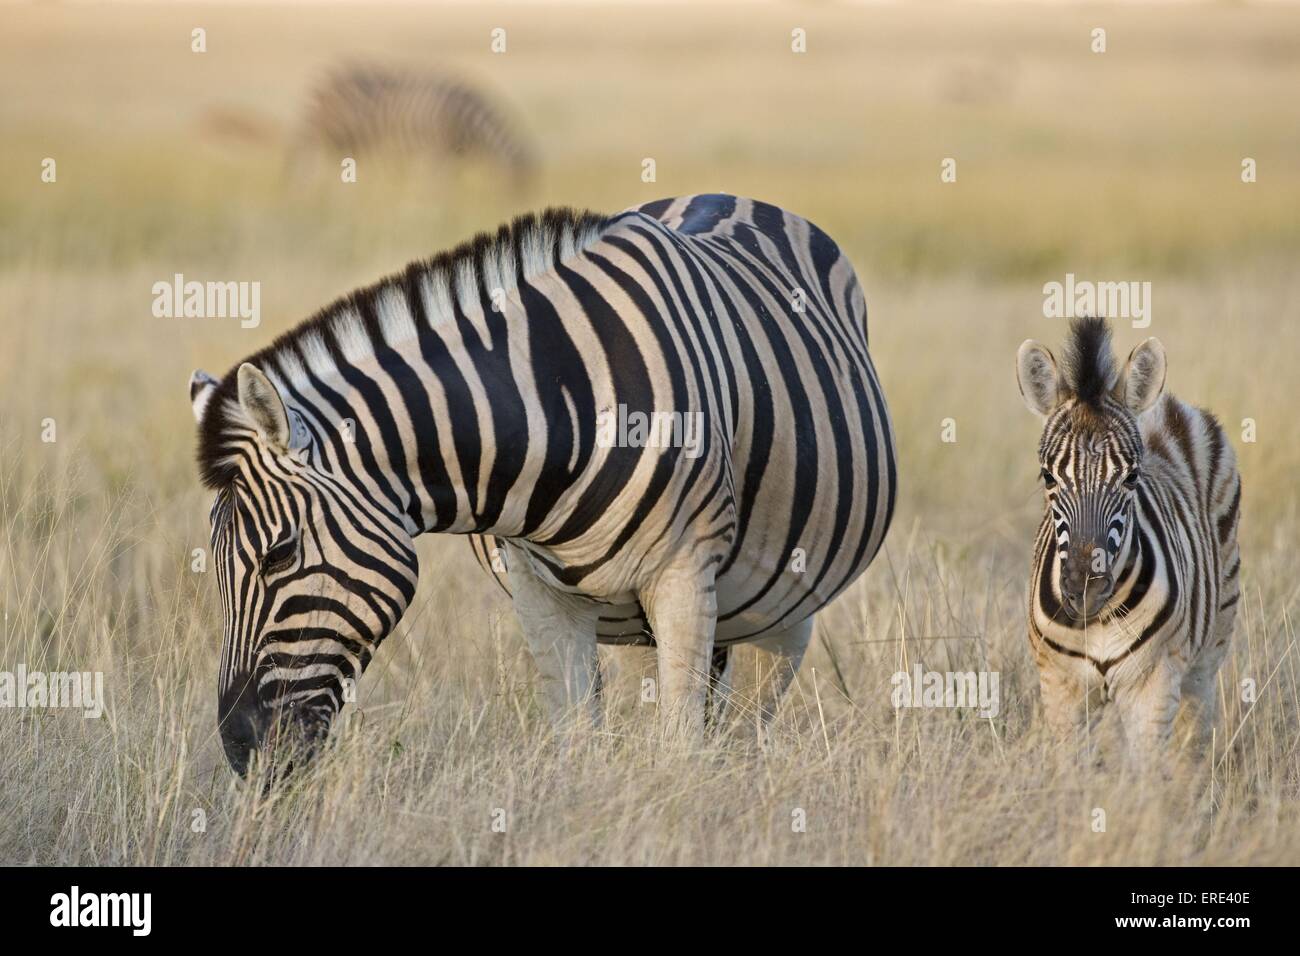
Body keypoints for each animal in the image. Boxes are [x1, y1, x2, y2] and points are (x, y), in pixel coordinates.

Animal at [189, 194, 897, 774]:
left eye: (279, 554)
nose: (241, 750)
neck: (559, 413)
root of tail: (731, 196)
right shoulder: (541, 593)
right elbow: (578, 747)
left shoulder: (684, 575)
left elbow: (679, 753)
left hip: (773, 614)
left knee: (743, 729)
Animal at [290, 65, 536, 187]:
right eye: (519, 186)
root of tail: (327, 77)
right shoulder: (438, 150)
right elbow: (439, 185)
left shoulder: (456, 154)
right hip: (320, 131)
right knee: (304, 156)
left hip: (345, 138)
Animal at [1015, 317, 1241, 761]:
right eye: (1048, 477)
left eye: (1132, 477)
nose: (1085, 589)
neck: (1099, 620)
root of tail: (1168, 405)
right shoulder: (1060, 686)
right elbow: (1072, 769)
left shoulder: (1153, 683)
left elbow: (1147, 771)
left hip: (1210, 645)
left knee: (1193, 737)